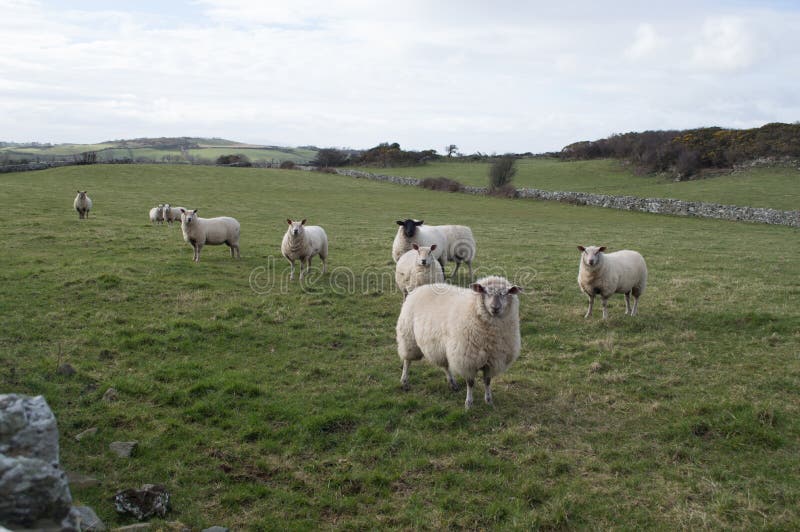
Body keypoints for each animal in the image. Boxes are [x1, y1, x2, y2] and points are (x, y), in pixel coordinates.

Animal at [396, 275, 522, 409]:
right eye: (485, 292)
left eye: (505, 293)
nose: (495, 308)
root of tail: (422, 287)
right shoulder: (466, 360)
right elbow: (470, 383)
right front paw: (469, 403)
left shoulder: (492, 361)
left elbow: (487, 381)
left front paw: (489, 401)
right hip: (408, 337)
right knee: (407, 361)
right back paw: (404, 381)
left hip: (441, 347)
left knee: (445, 365)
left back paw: (452, 383)